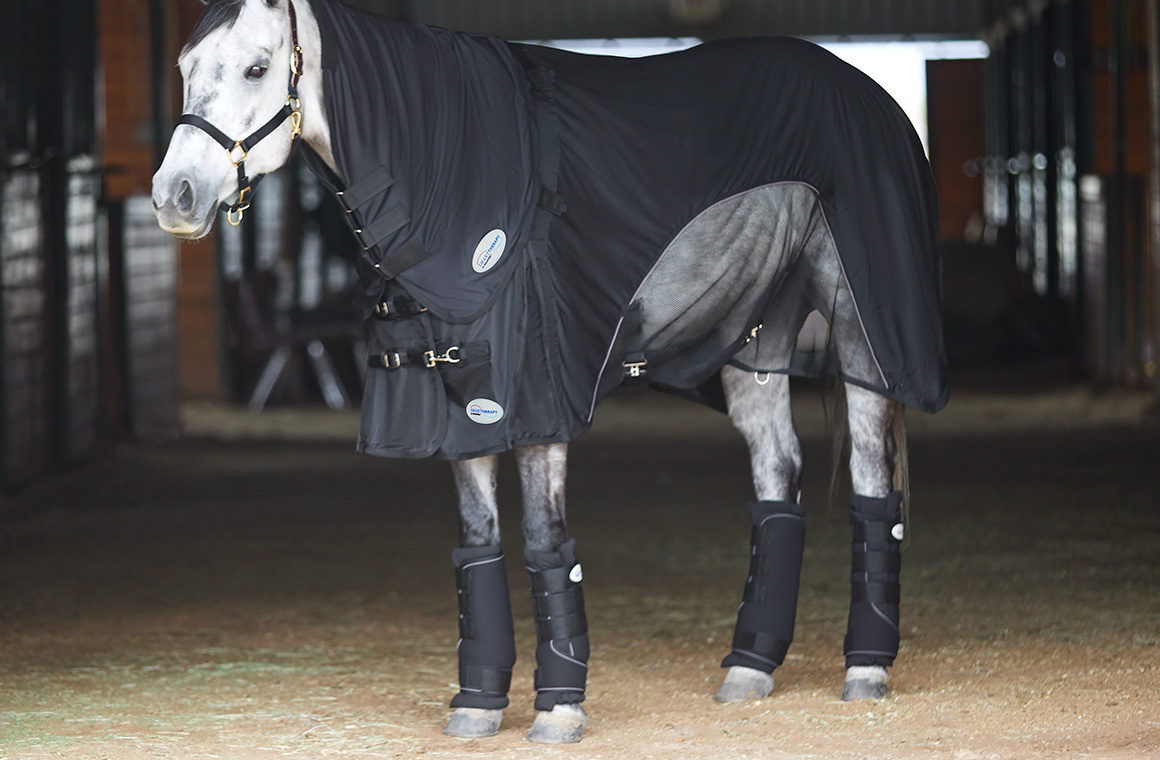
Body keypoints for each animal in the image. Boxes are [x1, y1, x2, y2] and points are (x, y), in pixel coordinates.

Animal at [152, 0, 948, 744]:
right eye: (185, 68)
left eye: (258, 68)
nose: (174, 197)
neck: (459, 179)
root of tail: (868, 94)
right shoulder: (465, 409)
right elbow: (477, 541)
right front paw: (476, 705)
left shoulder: (536, 406)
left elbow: (543, 540)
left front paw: (559, 709)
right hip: (754, 344)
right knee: (778, 475)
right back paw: (750, 667)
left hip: (864, 336)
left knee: (873, 478)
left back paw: (866, 668)